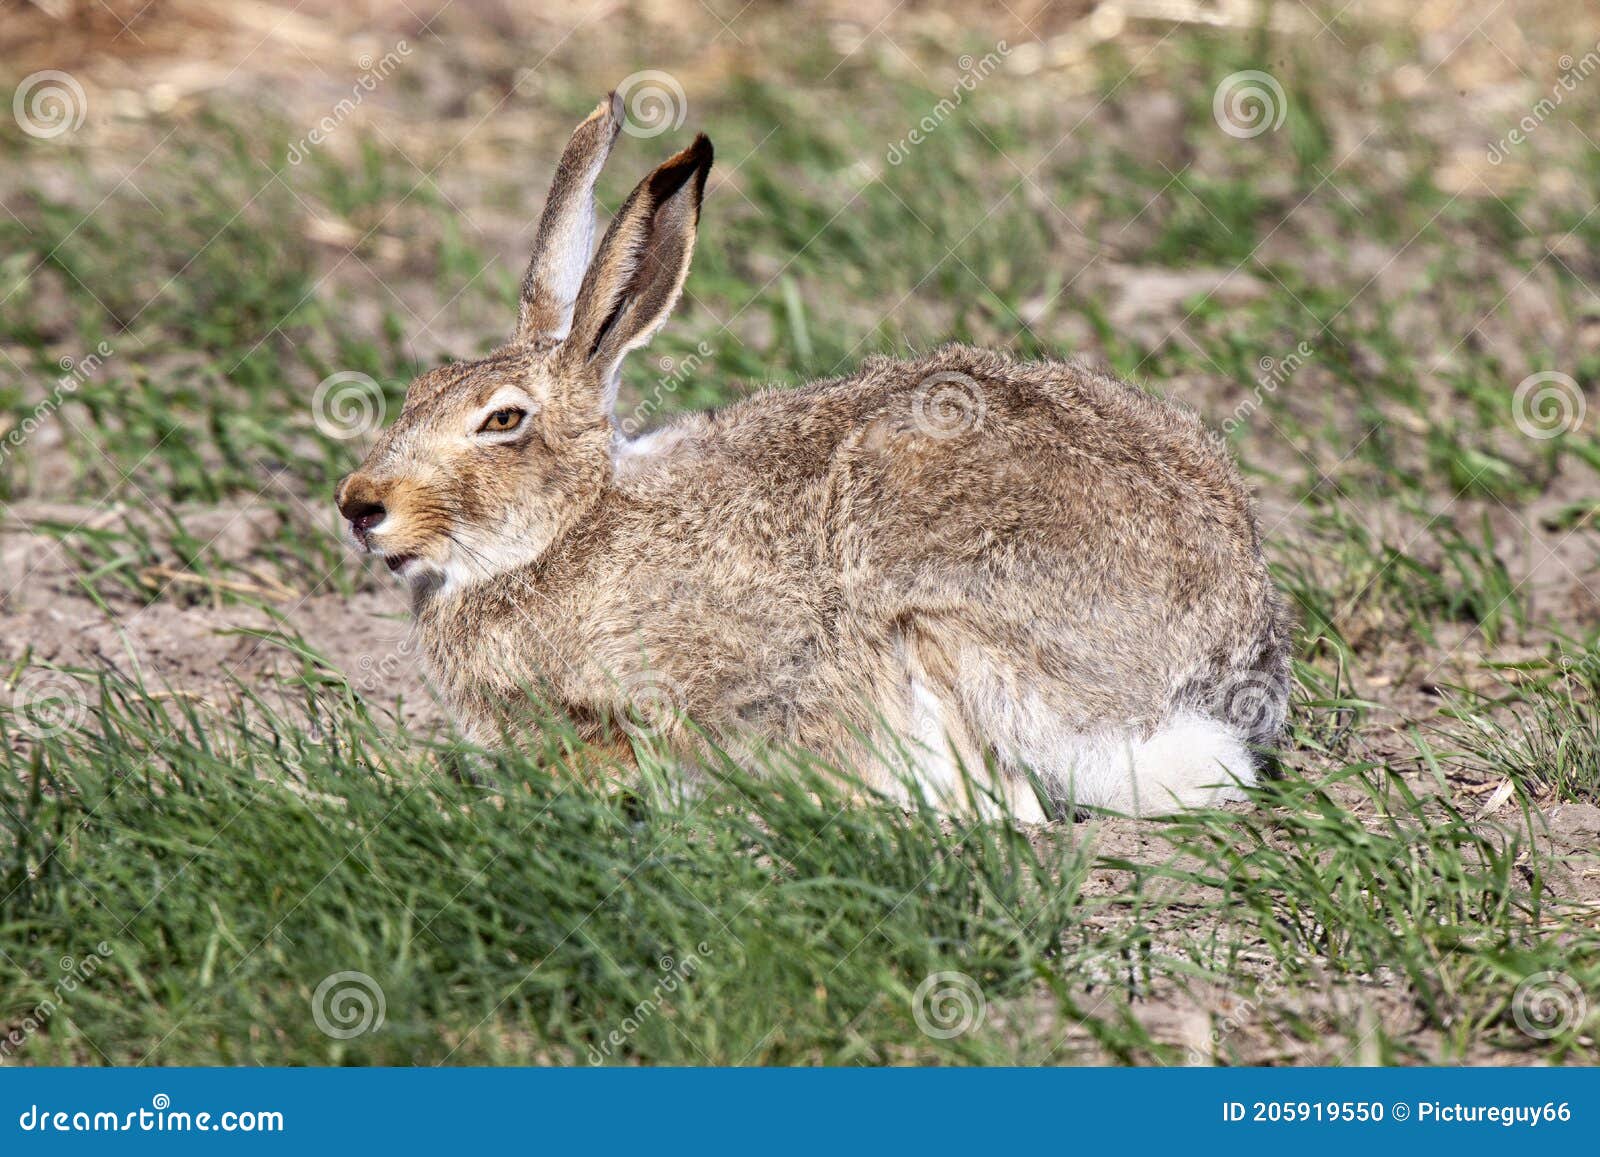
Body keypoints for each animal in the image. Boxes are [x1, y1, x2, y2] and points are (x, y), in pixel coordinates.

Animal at [334, 92, 1294, 820]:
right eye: (422, 386)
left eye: (502, 420)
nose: (359, 505)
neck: (566, 528)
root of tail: (1227, 666)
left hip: (941, 610)